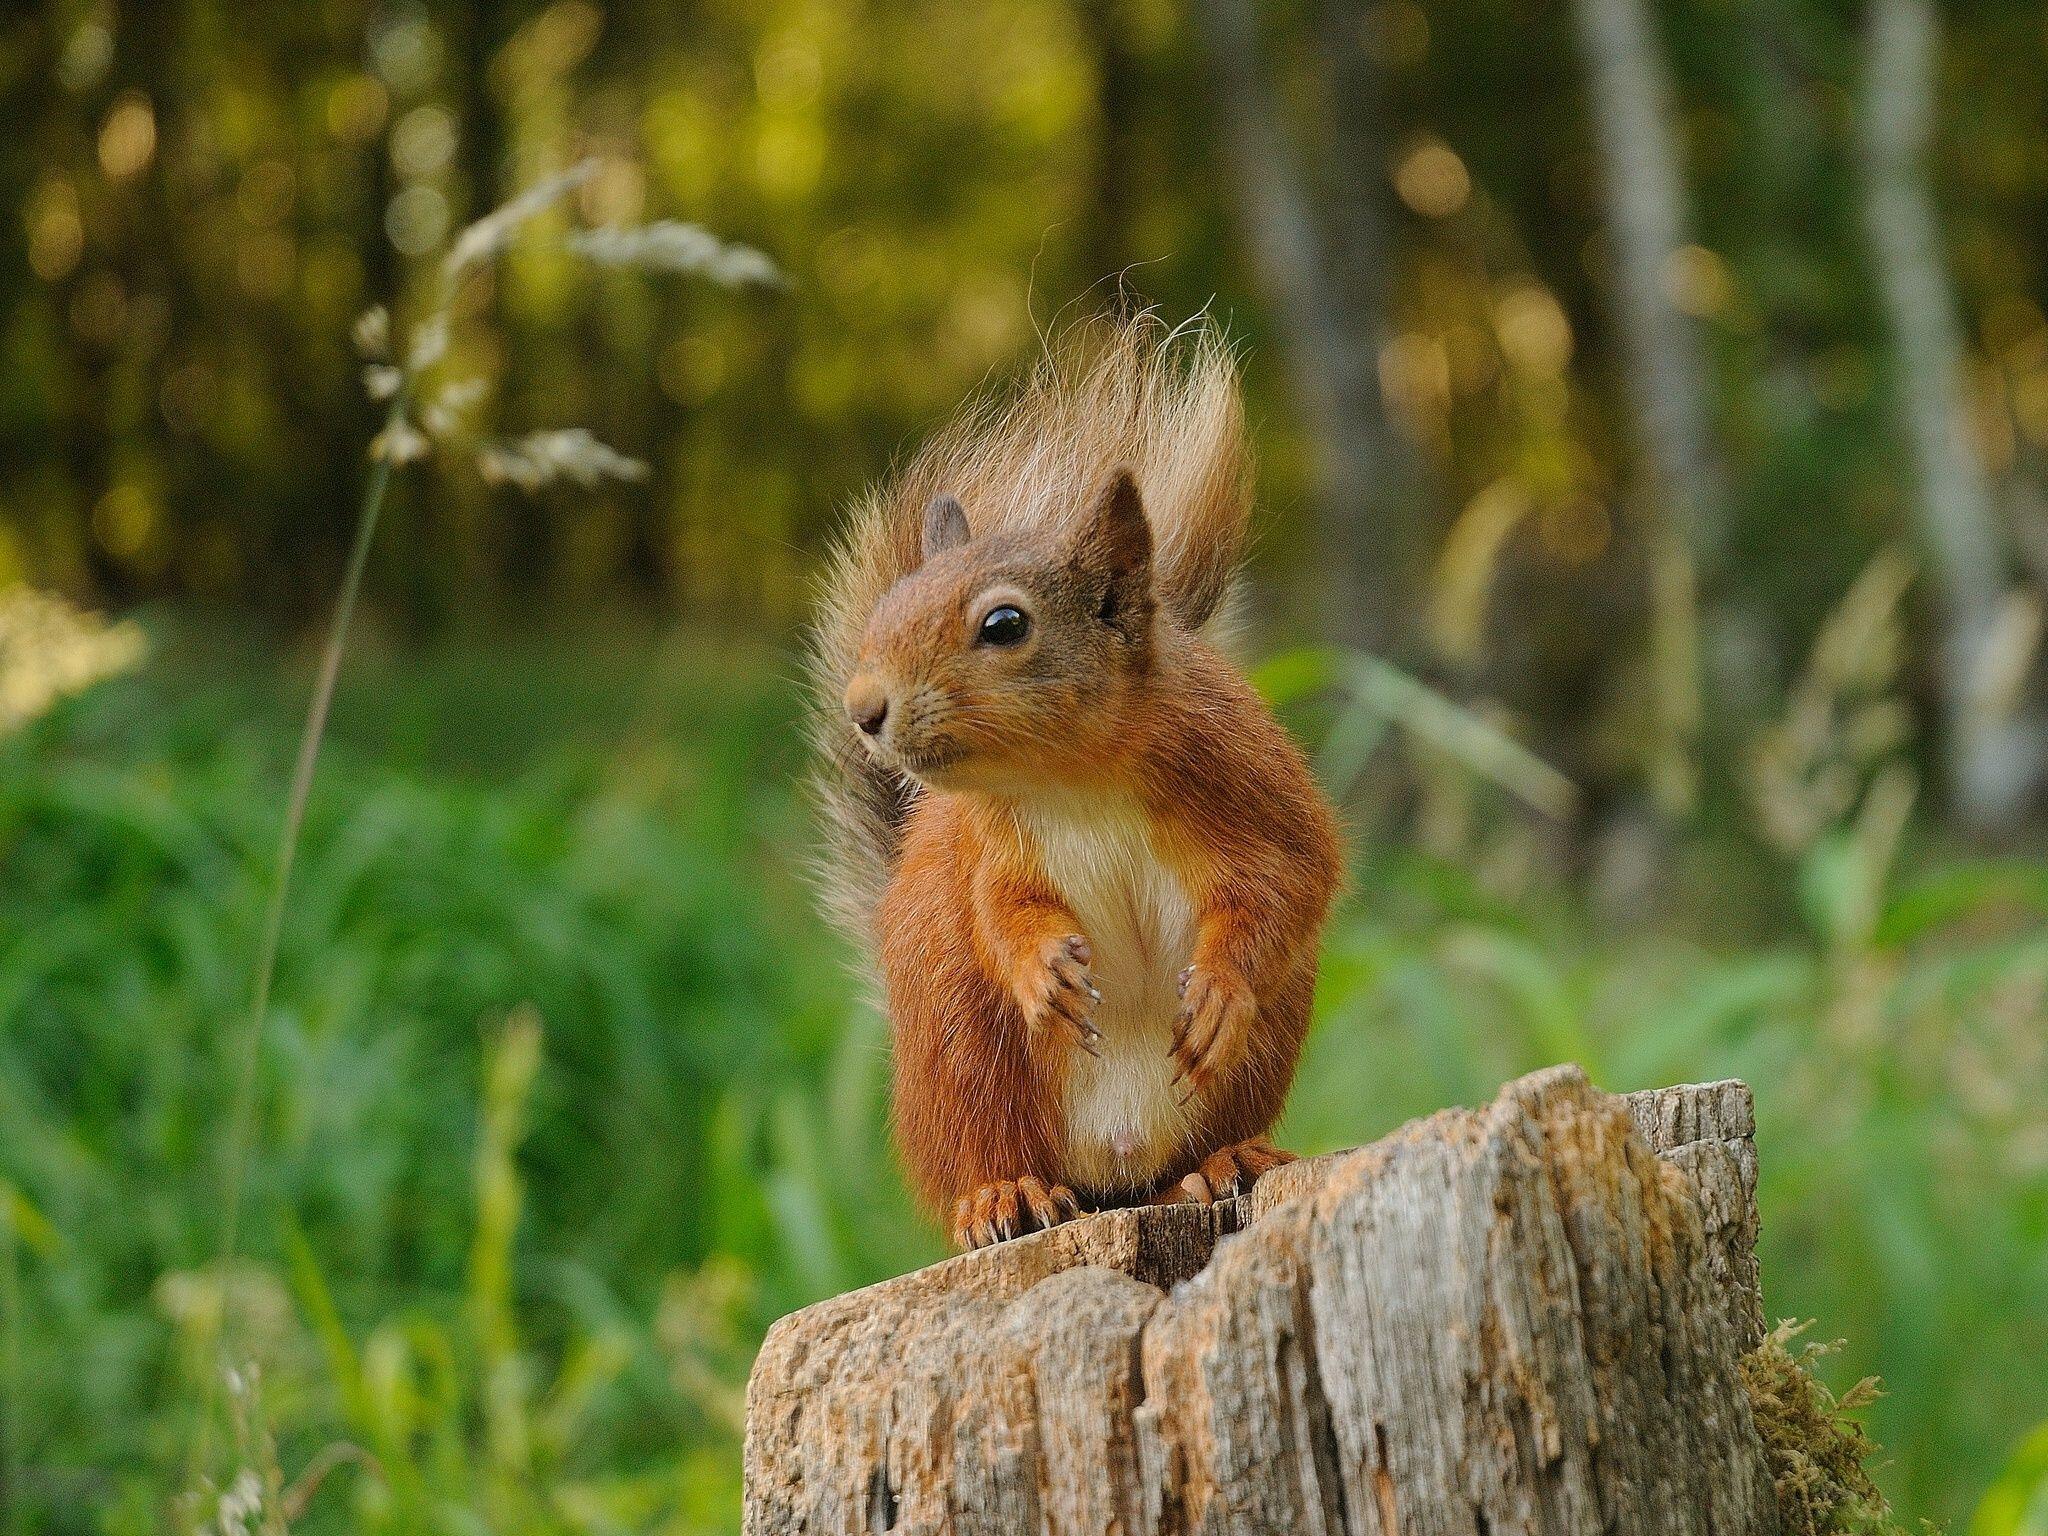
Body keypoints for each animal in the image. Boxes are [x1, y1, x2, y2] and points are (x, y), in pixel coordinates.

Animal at [809, 317, 1341, 1250]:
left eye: (1004, 624)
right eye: (887, 610)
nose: (862, 708)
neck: (1070, 780)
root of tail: (1111, 1170)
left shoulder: (1248, 780)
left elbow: (1290, 881)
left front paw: (1219, 990)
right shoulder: (990, 848)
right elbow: (1002, 913)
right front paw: (1041, 971)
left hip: (1252, 1060)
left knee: (1183, 1159)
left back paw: (1220, 1162)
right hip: (962, 1054)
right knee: (990, 1152)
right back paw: (1003, 1196)